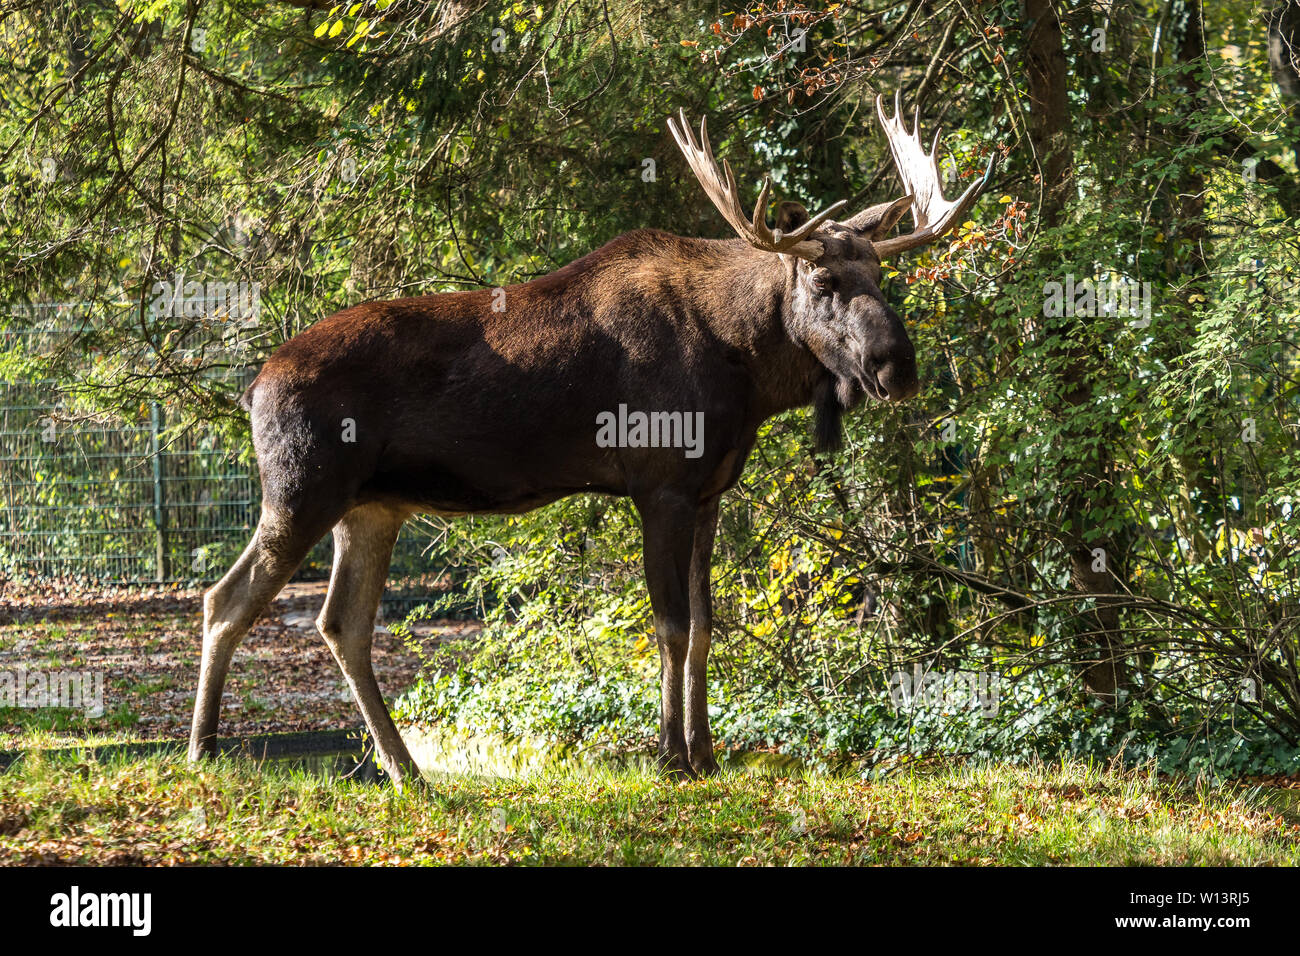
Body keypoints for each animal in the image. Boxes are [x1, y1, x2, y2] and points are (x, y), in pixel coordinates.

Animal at [188, 94, 996, 789]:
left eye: (883, 274)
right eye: (824, 281)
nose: (897, 367)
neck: (746, 368)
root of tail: (253, 385)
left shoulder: (709, 492)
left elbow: (706, 625)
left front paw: (707, 753)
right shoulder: (658, 485)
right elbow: (672, 625)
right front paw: (672, 756)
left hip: (372, 508)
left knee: (342, 626)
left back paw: (404, 768)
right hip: (301, 489)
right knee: (226, 599)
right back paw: (204, 749)